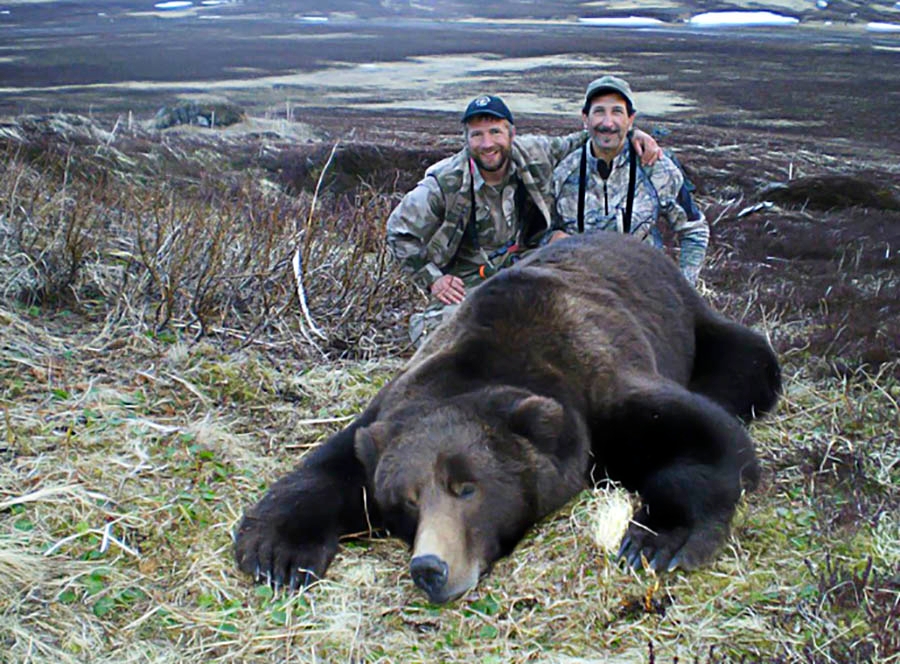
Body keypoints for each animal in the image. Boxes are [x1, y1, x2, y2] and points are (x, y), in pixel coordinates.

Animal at [233, 232, 781, 604]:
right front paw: (277, 552)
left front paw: (654, 539)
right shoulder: (394, 403)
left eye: (467, 488)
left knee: (749, 361)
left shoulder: (600, 388)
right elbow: (331, 467)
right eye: (407, 500)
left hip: (697, 323)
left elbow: (703, 437)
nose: (429, 567)